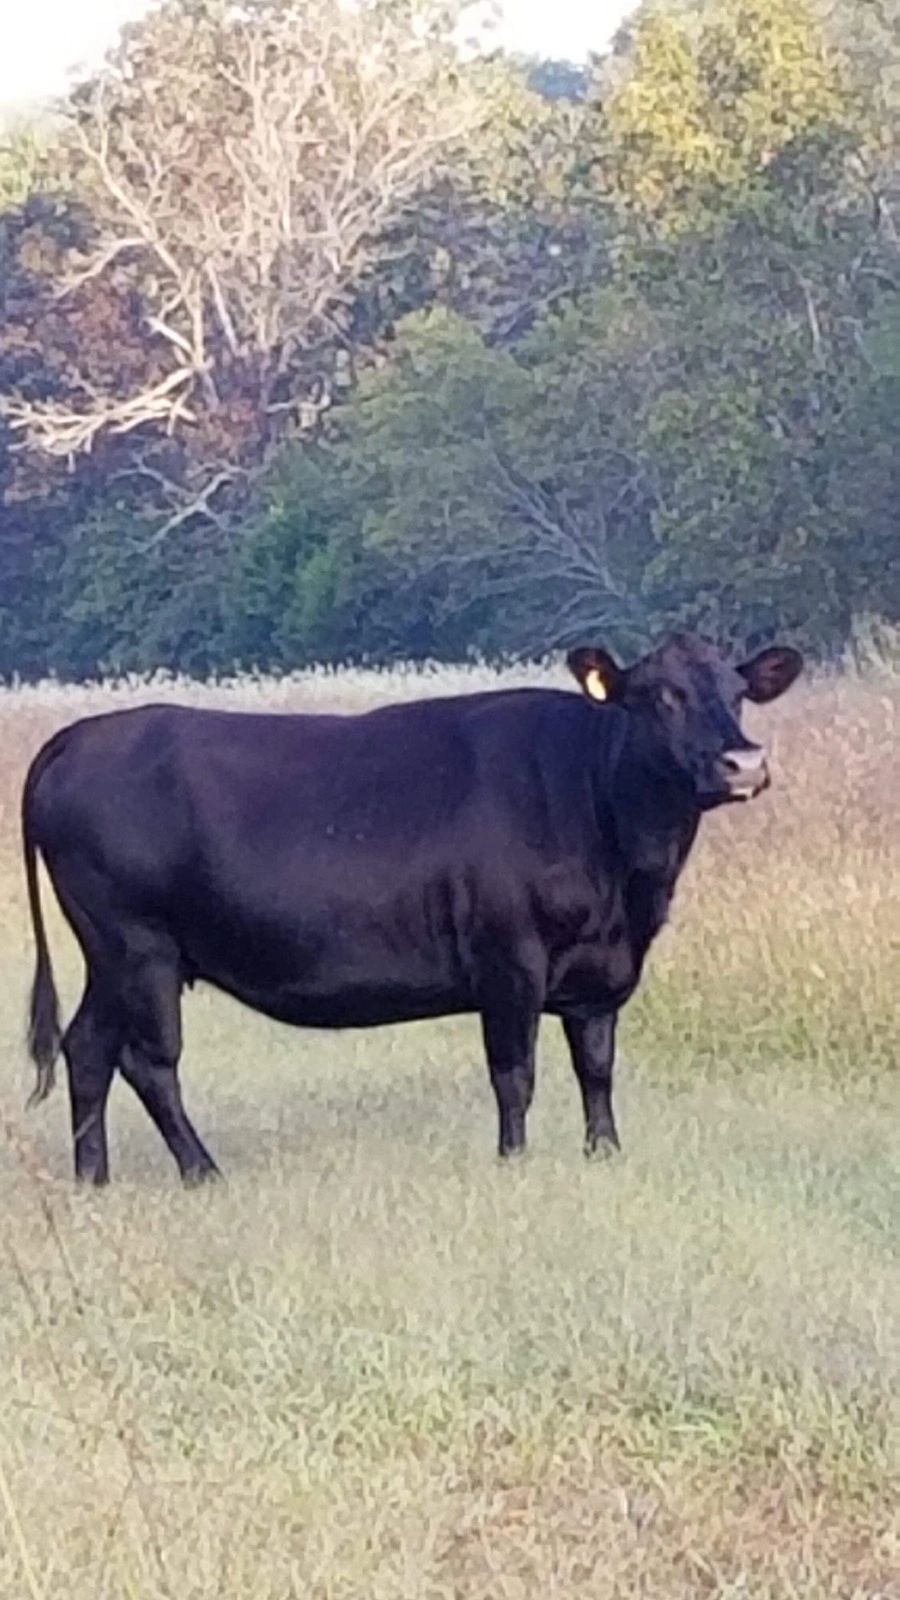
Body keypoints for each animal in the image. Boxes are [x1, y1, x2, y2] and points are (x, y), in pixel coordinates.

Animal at [21, 633, 802, 1186]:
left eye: (739, 692)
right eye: (663, 695)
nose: (744, 763)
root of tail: (78, 737)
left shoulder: (599, 974)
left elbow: (597, 1070)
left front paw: (604, 1155)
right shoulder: (509, 958)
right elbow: (514, 1071)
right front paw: (513, 1163)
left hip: (113, 955)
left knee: (87, 1047)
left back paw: (93, 1179)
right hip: (137, 944)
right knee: (150, 1061)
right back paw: (202, 1172)